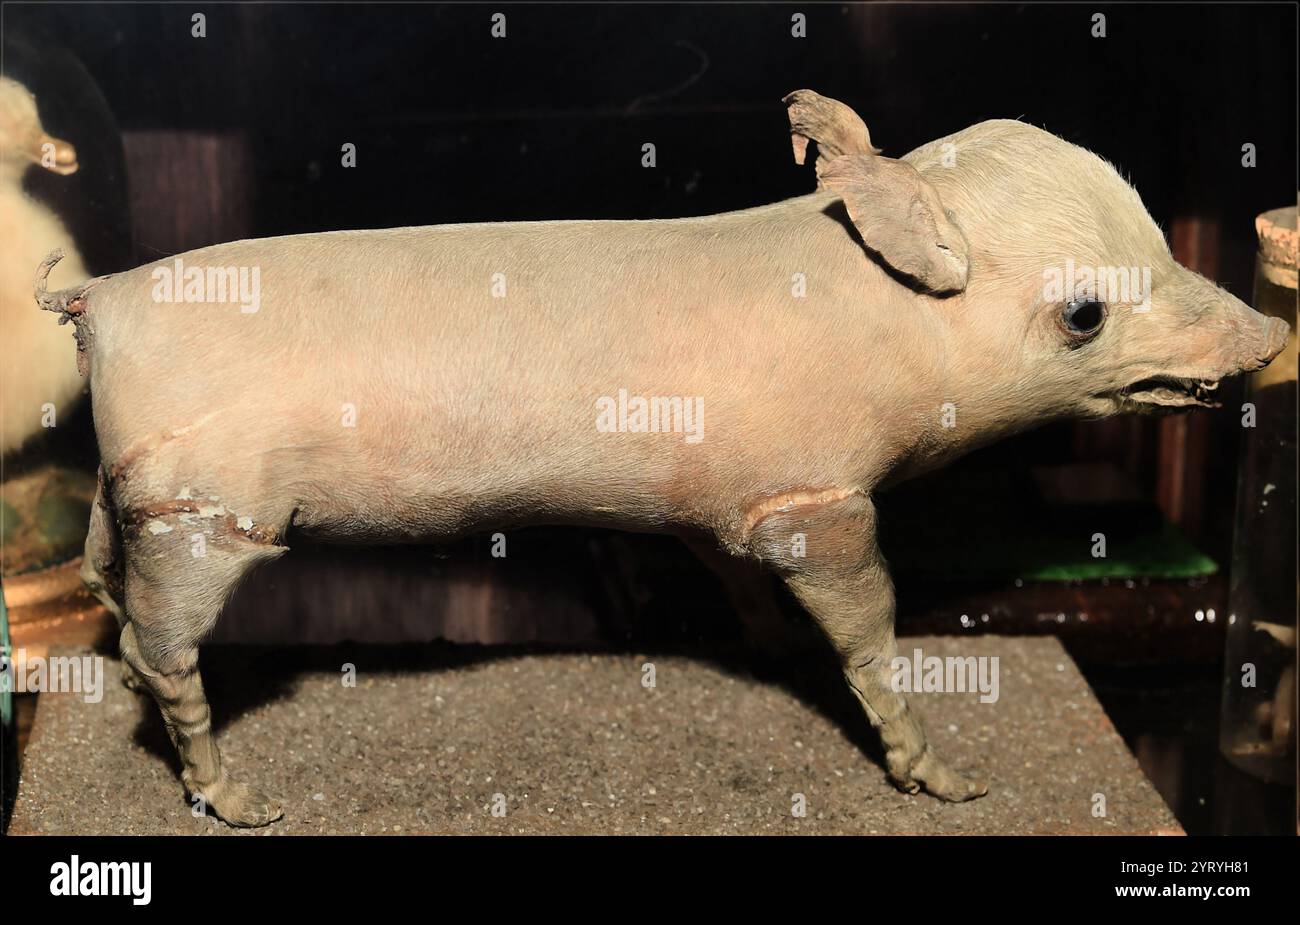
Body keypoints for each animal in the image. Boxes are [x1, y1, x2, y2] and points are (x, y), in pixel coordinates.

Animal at [36, 89, 1291, 827]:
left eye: (1157, 234)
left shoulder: (720, 512)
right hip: (205, 521)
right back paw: (239, 796)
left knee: (105, 586)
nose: (1268, 337)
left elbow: (749, 603)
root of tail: (99, 303)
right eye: (1083, 314)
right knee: (160, 650)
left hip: (128, 499)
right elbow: (871, 636)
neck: (880, 312)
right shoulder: (815, 499)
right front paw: (947, 780)